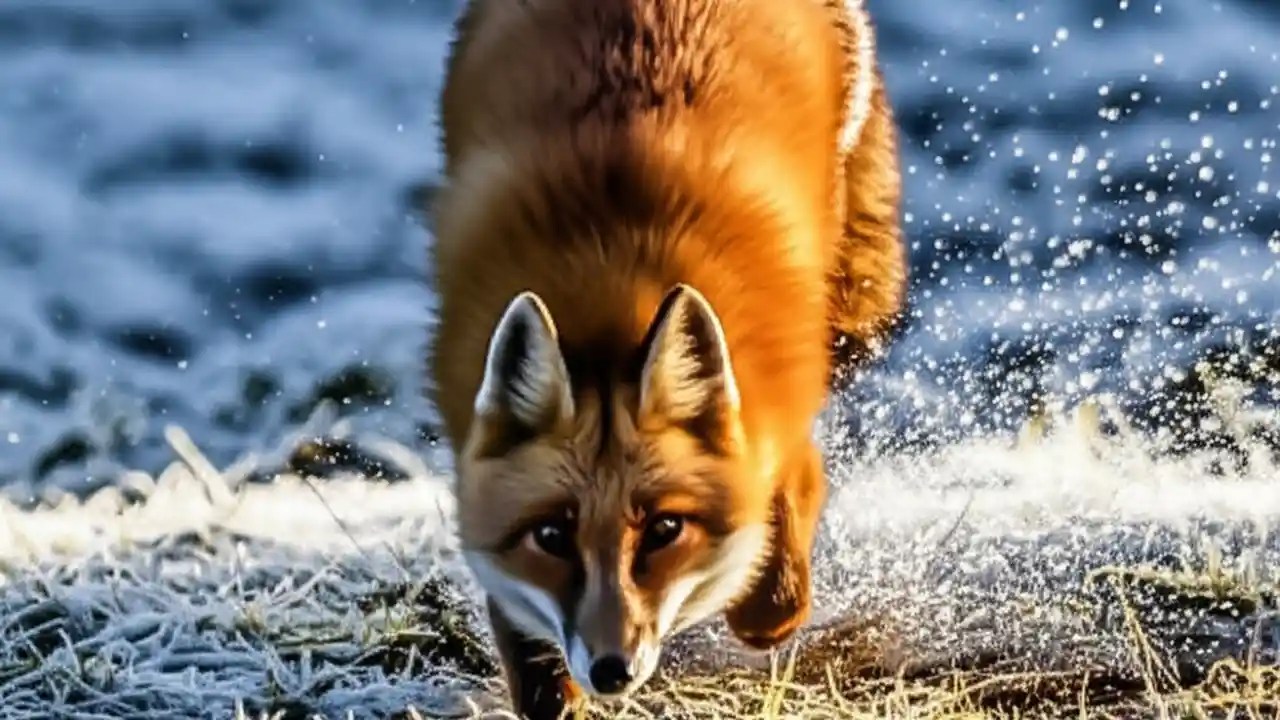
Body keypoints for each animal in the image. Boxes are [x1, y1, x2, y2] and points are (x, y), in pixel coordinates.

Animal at [426, 0, 906, 717]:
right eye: (551, 537)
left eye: (664, 529)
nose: (611, 670)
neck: (610, 282)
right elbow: (528, 649)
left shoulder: (776, 419)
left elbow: (781, 539)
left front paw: (766, 594)